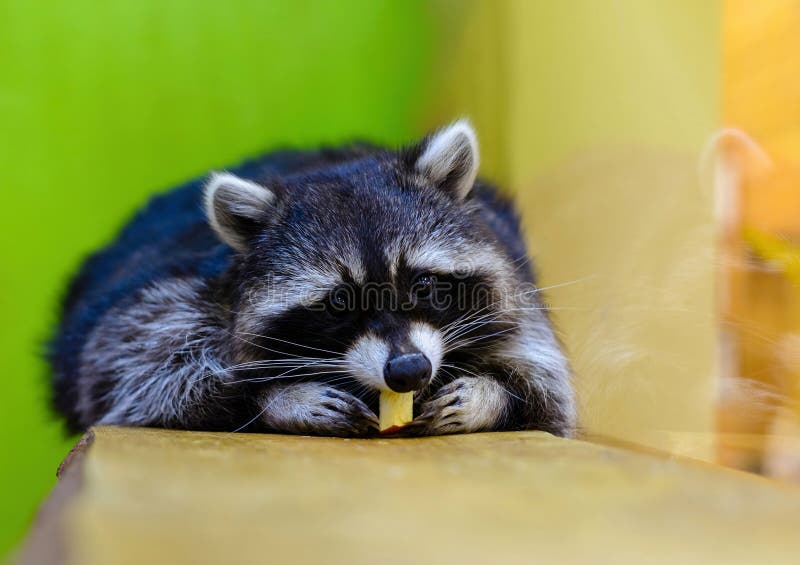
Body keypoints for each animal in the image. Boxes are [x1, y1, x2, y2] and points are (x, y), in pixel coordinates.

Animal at [49, 120, 576, 437]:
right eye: (339, 302)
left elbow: (550, 394)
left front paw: (490, 395)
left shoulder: (517, 291)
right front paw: (281, 399)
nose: (409, 371)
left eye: (423, 286)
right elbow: (136, 377)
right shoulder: (164, 303)